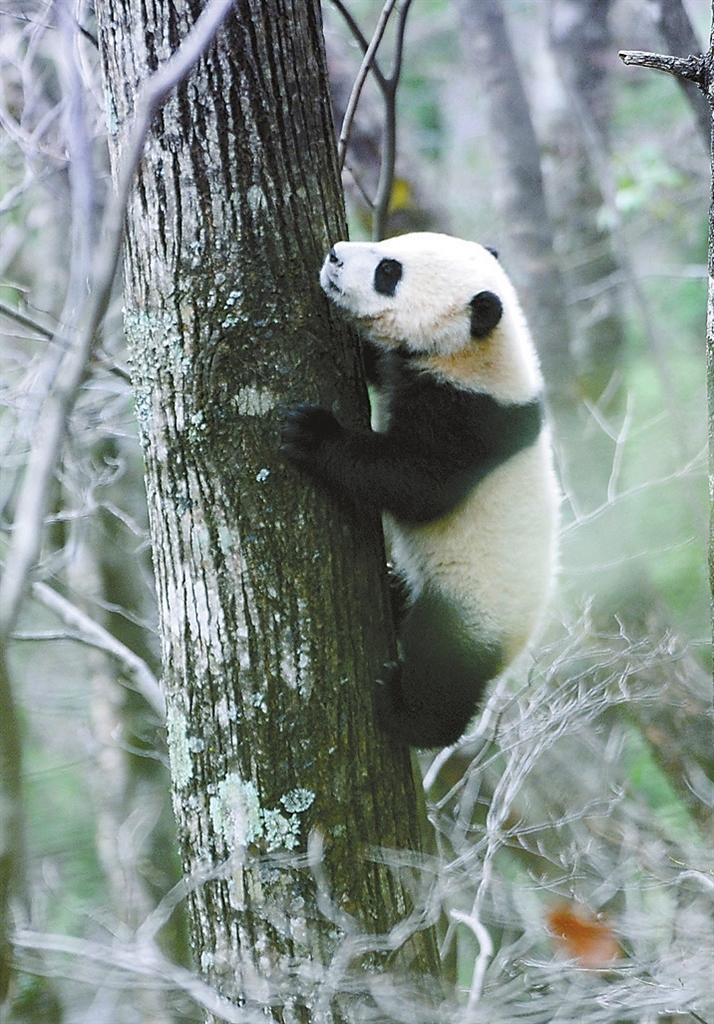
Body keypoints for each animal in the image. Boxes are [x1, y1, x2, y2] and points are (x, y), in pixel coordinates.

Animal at [283, 232, 559, 748]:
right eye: (389, 244)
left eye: (388, 272)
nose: (334, 254)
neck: (481, 350)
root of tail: (516, 647)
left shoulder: (471, 421)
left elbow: (415, 482)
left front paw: (312, 434)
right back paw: (394, 591)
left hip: (470, 607)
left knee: (442, 672)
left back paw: (405, 712)